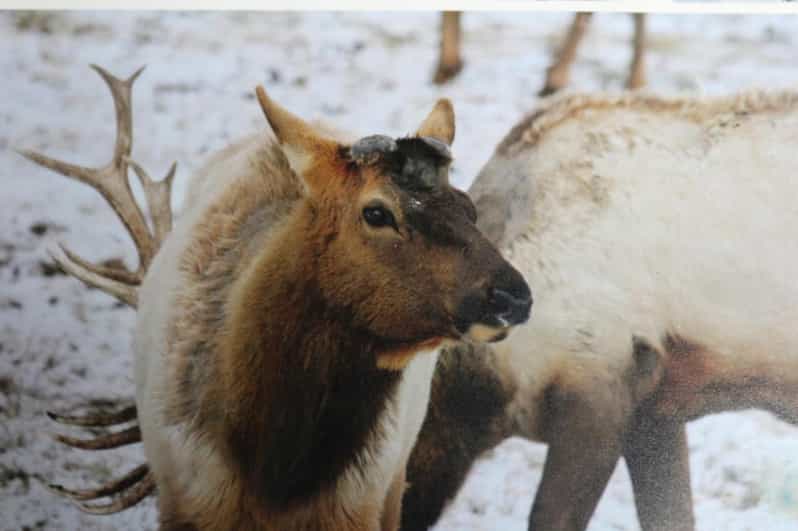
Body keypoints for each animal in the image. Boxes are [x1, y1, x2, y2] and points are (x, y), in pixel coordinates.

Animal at [19, 65, 532, 530]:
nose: (515, 296)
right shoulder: (183, 499)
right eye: (376, 212)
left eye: (468, 207)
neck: (271, 474)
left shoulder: (361, 505)